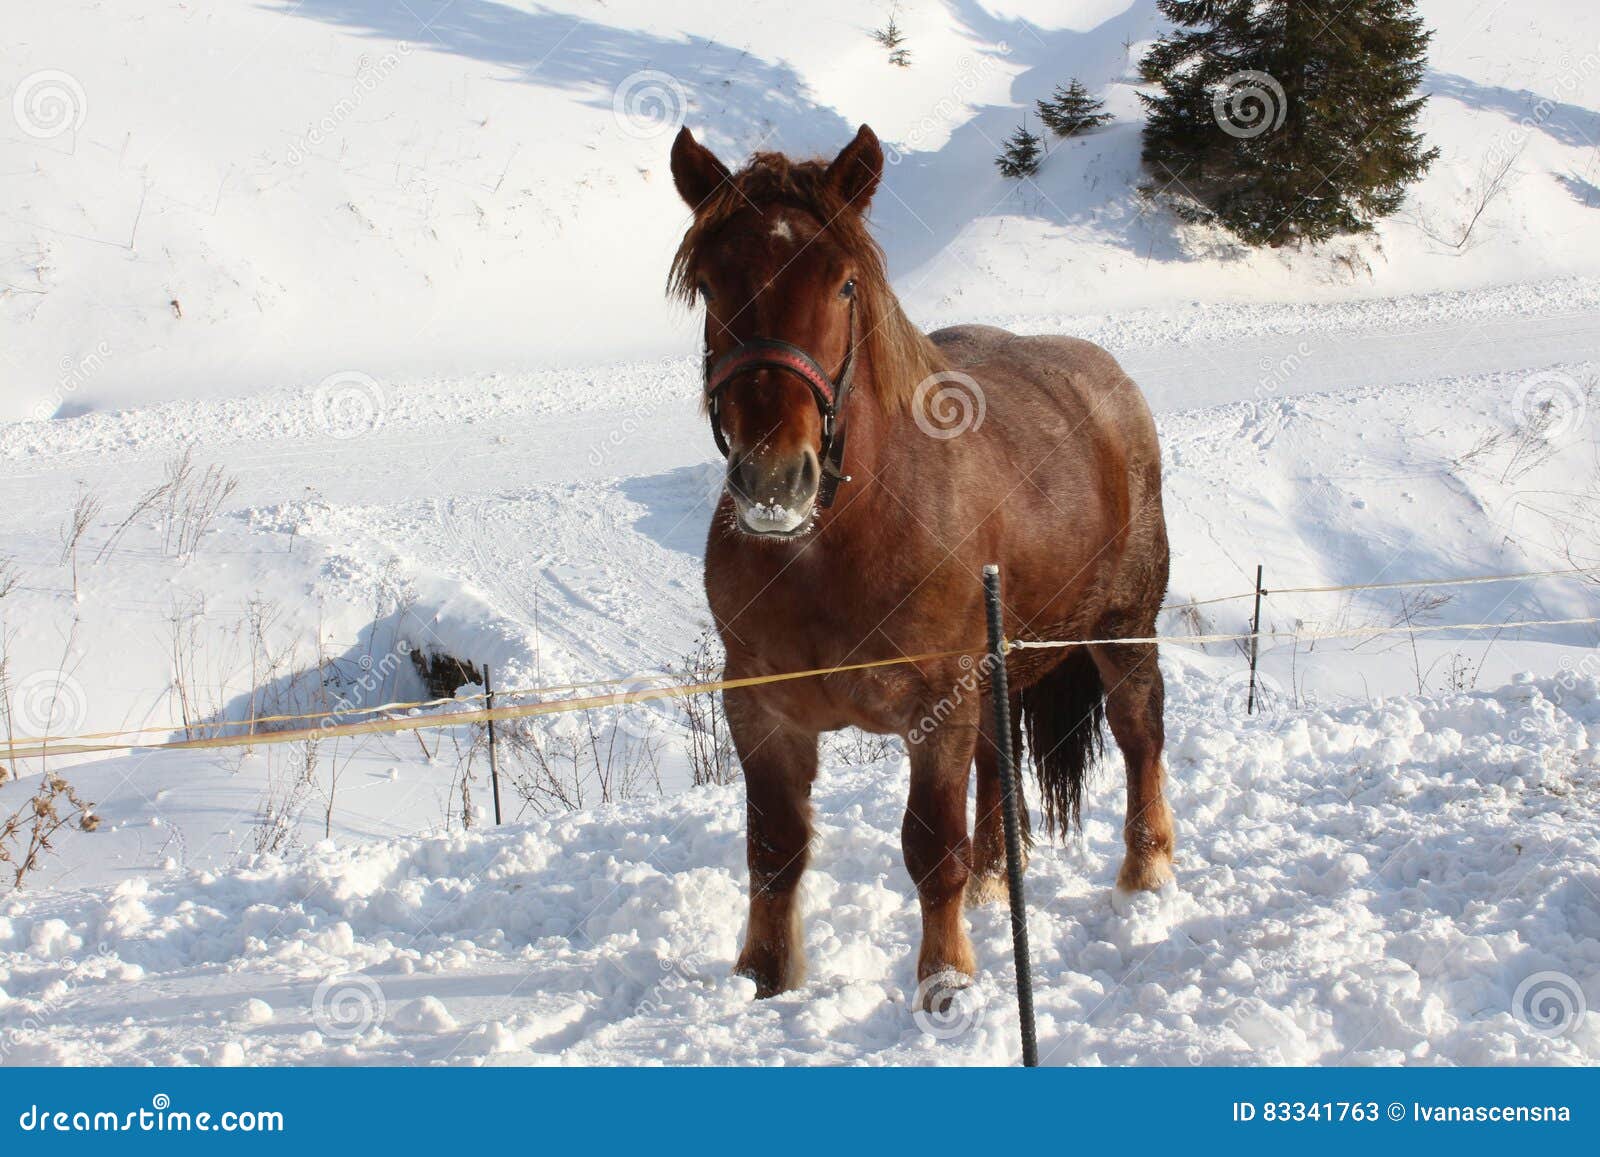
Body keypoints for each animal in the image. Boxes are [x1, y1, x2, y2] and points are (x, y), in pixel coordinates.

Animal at [668, 124, 1173, 1009]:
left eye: (844, 284)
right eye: (708, 283)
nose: (774, 480)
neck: (836, 543)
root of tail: (1112, 384)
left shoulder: (936, 706)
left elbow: (933, 845)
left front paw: (946, 981)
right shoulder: (760, 710)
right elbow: (774, 849)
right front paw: (763, 977)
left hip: (1123, 629)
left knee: (1141, 732)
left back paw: (1143, 874)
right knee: (1000, 763)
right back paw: (998, 879)